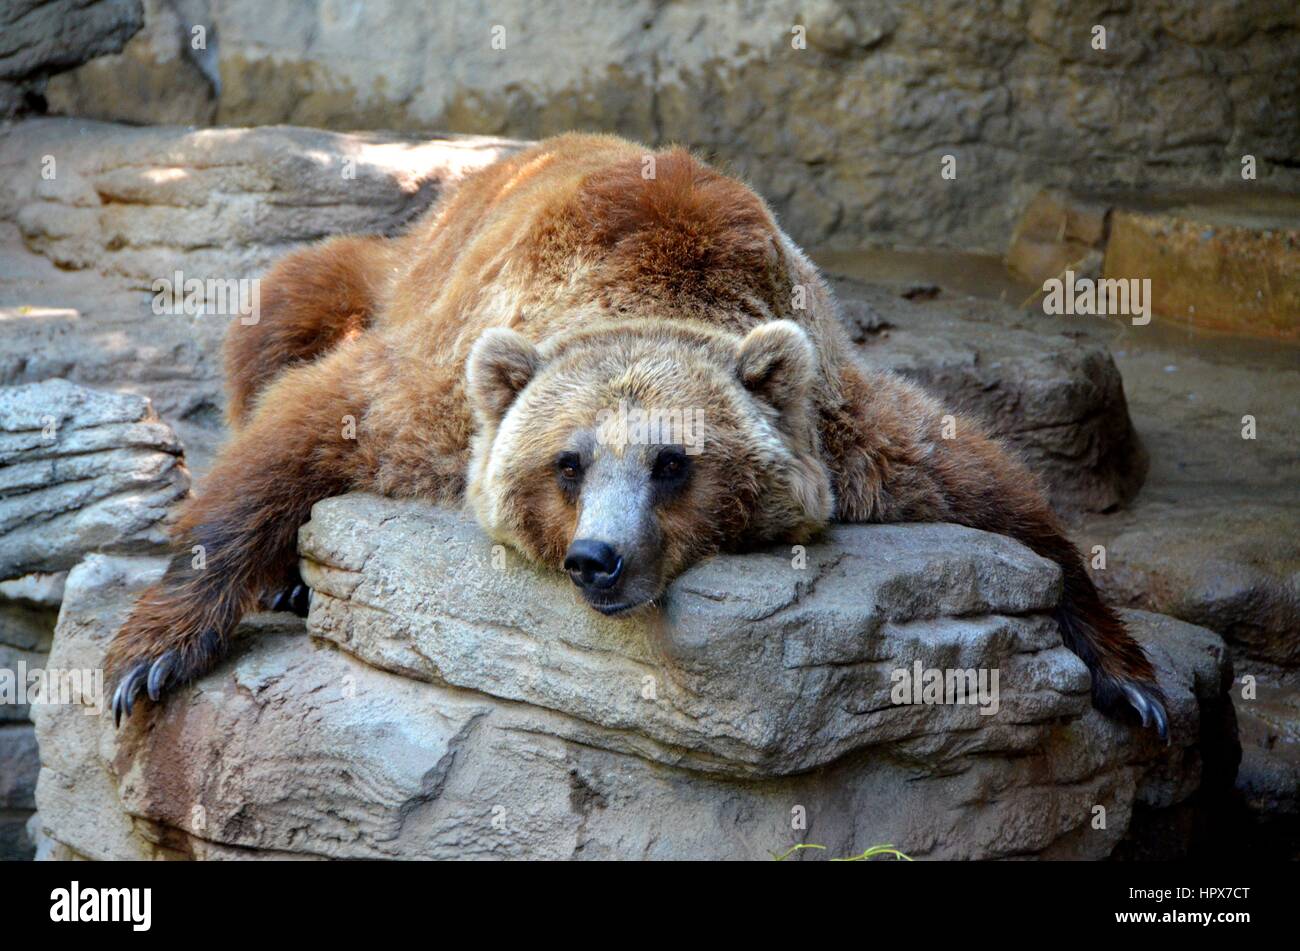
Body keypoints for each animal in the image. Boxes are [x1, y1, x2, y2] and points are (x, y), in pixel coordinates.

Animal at [107, 132, 1168, 740]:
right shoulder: (441, 394)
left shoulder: (841, 415)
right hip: (390, 271)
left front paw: (1130, 678)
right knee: (279, 310)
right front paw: (146, 658)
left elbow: (992, 485)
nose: (599, 559)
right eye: (567, 462)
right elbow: (304, 427)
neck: (654, 283)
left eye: (672, 463)